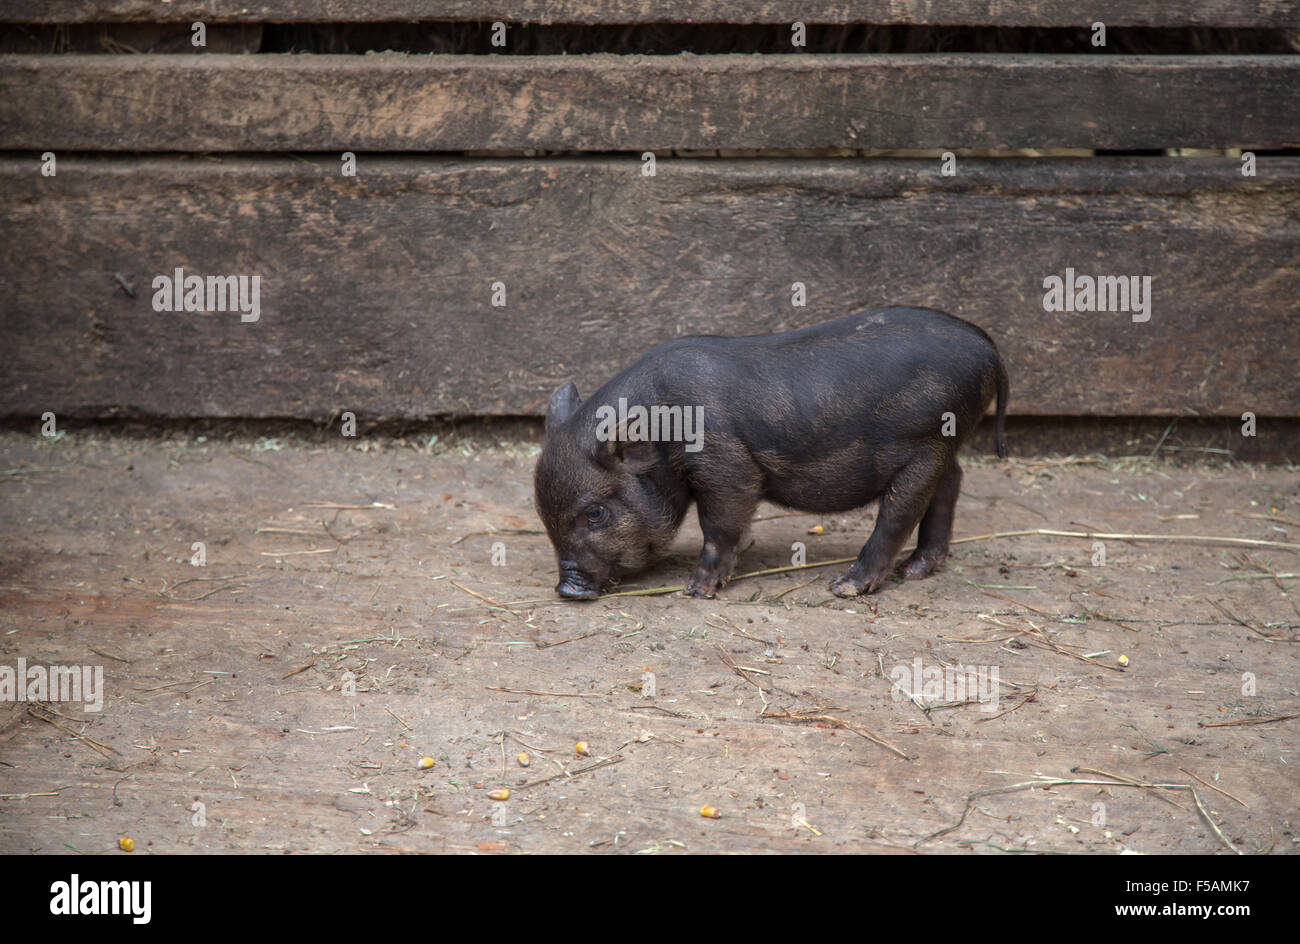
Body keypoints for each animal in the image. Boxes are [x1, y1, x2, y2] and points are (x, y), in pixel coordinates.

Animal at [533, 307, 1008, 600]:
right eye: (541, 514)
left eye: (595, 513)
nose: (566, 589)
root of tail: (989, 347)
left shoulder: (727, 467)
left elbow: (719, 523)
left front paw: (696, 591)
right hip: (944, 445)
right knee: (951, 484)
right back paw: (915, 571)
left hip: (924, 445)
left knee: (899, 514)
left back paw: (845, 587)